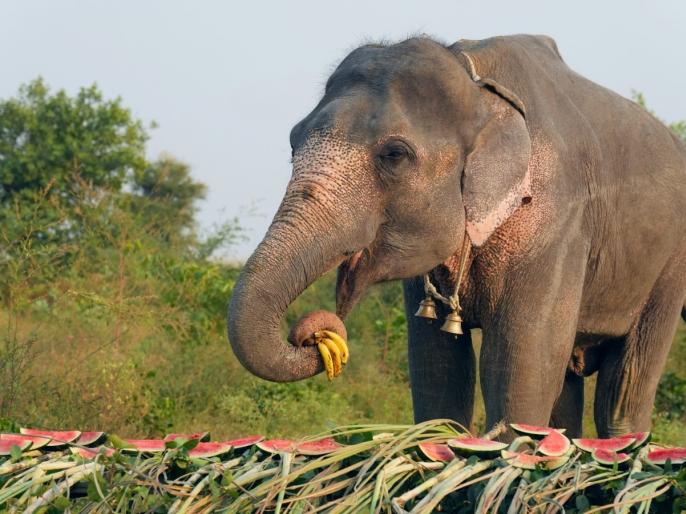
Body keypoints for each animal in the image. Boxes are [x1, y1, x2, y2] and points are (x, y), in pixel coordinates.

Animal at [228, 34, 686, 438]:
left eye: (394, 155)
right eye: (292, 140)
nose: (318, 334)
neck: (474, 80)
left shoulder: (555, 221)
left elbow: (519, 368)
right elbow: (439, 368)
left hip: (669, 268)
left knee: (622, 391)